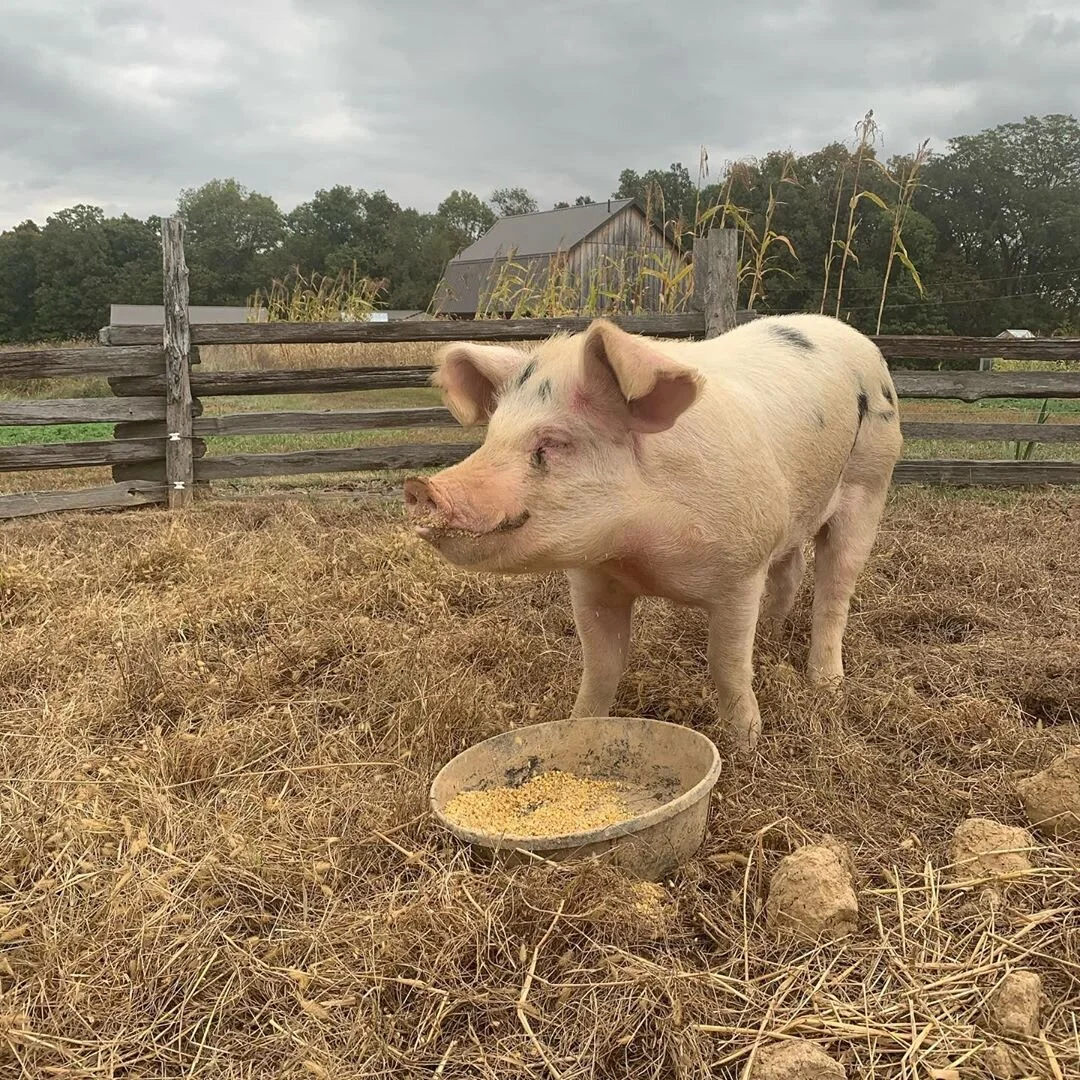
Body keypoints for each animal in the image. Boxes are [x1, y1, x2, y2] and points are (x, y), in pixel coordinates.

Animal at [403, 313, 903, 753]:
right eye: (491, 437)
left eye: (553, 443)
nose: (421, 487)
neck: (642, 552)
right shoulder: (592, 580)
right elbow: (601, 665)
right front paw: (578, 725)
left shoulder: (742, 569)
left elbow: (727, 666)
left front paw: (745, 746)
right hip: (793, 512)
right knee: (793, 569)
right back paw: (770, 639)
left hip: (869, 482)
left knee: (834, 589)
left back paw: (827, 685)